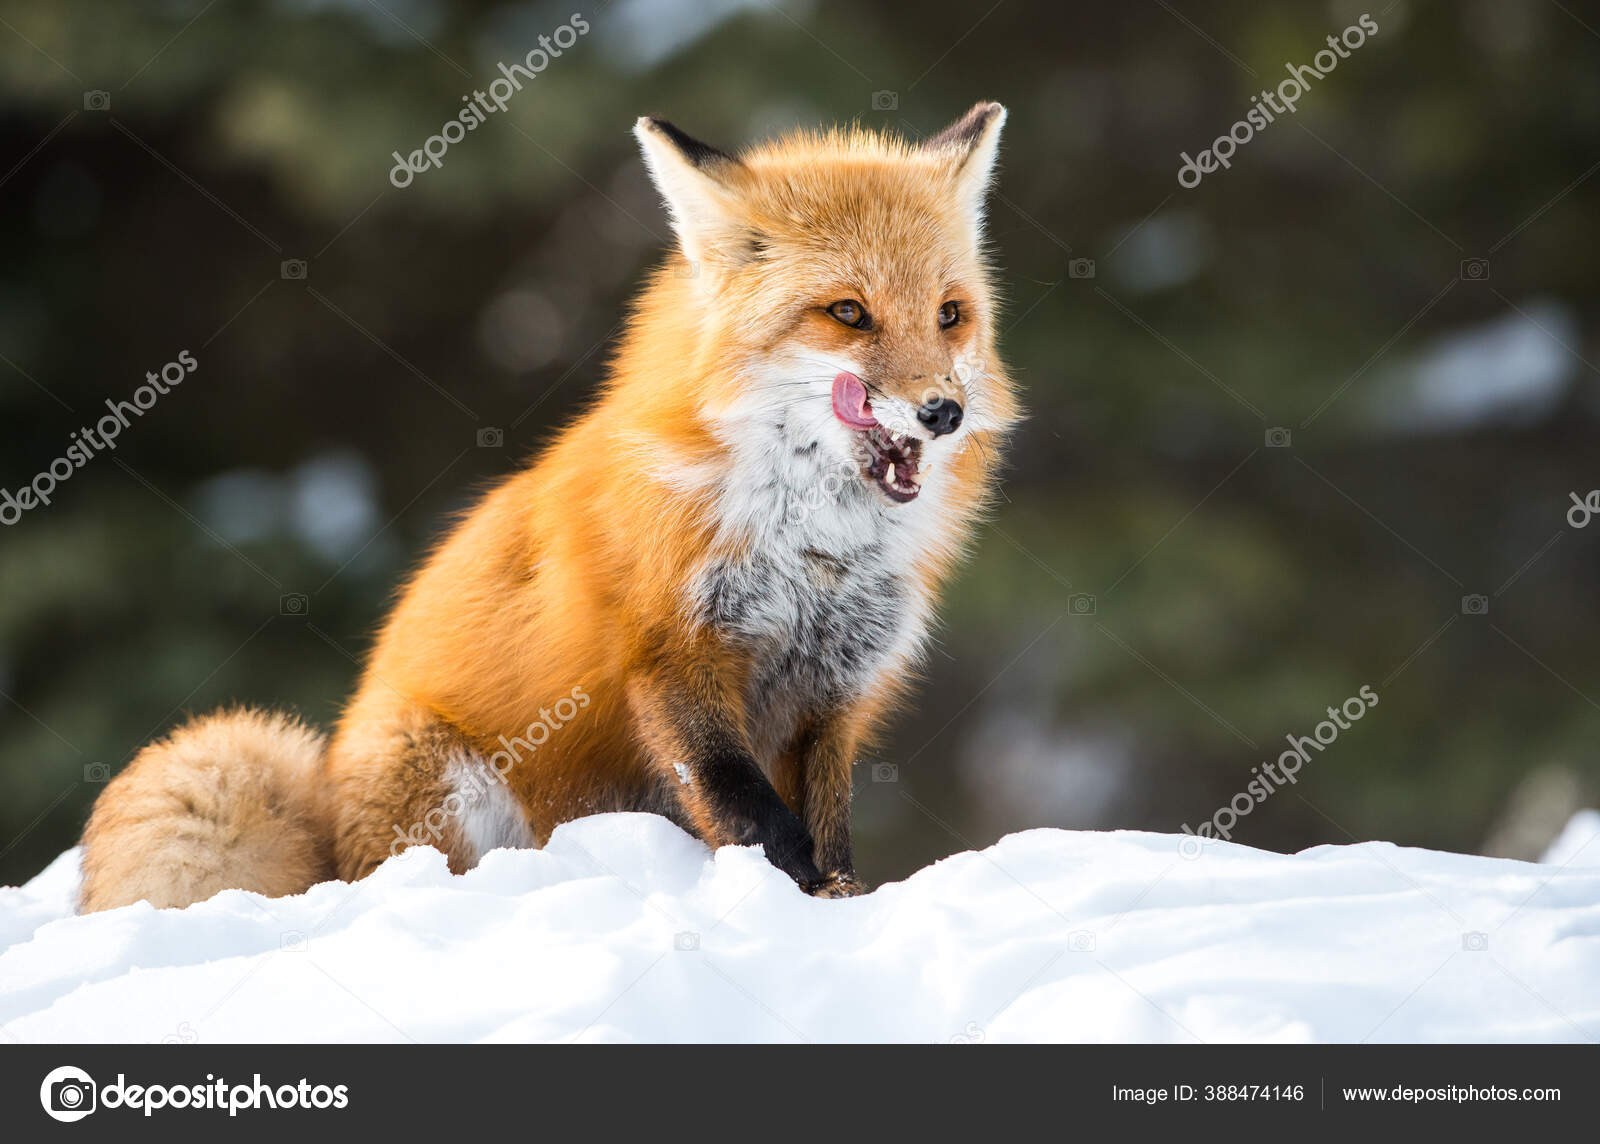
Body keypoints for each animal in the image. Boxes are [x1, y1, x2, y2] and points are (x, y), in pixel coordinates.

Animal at [77, 101, 1019, 912]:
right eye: (848, 312)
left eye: (950, 315)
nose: (944, 412)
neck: (817, 551)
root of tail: (331, 849)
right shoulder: (672, 659)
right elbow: (749, 812)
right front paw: (790, 900)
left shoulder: (836, 690)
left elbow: (828, 826)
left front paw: (841, 903)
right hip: (452, 785)